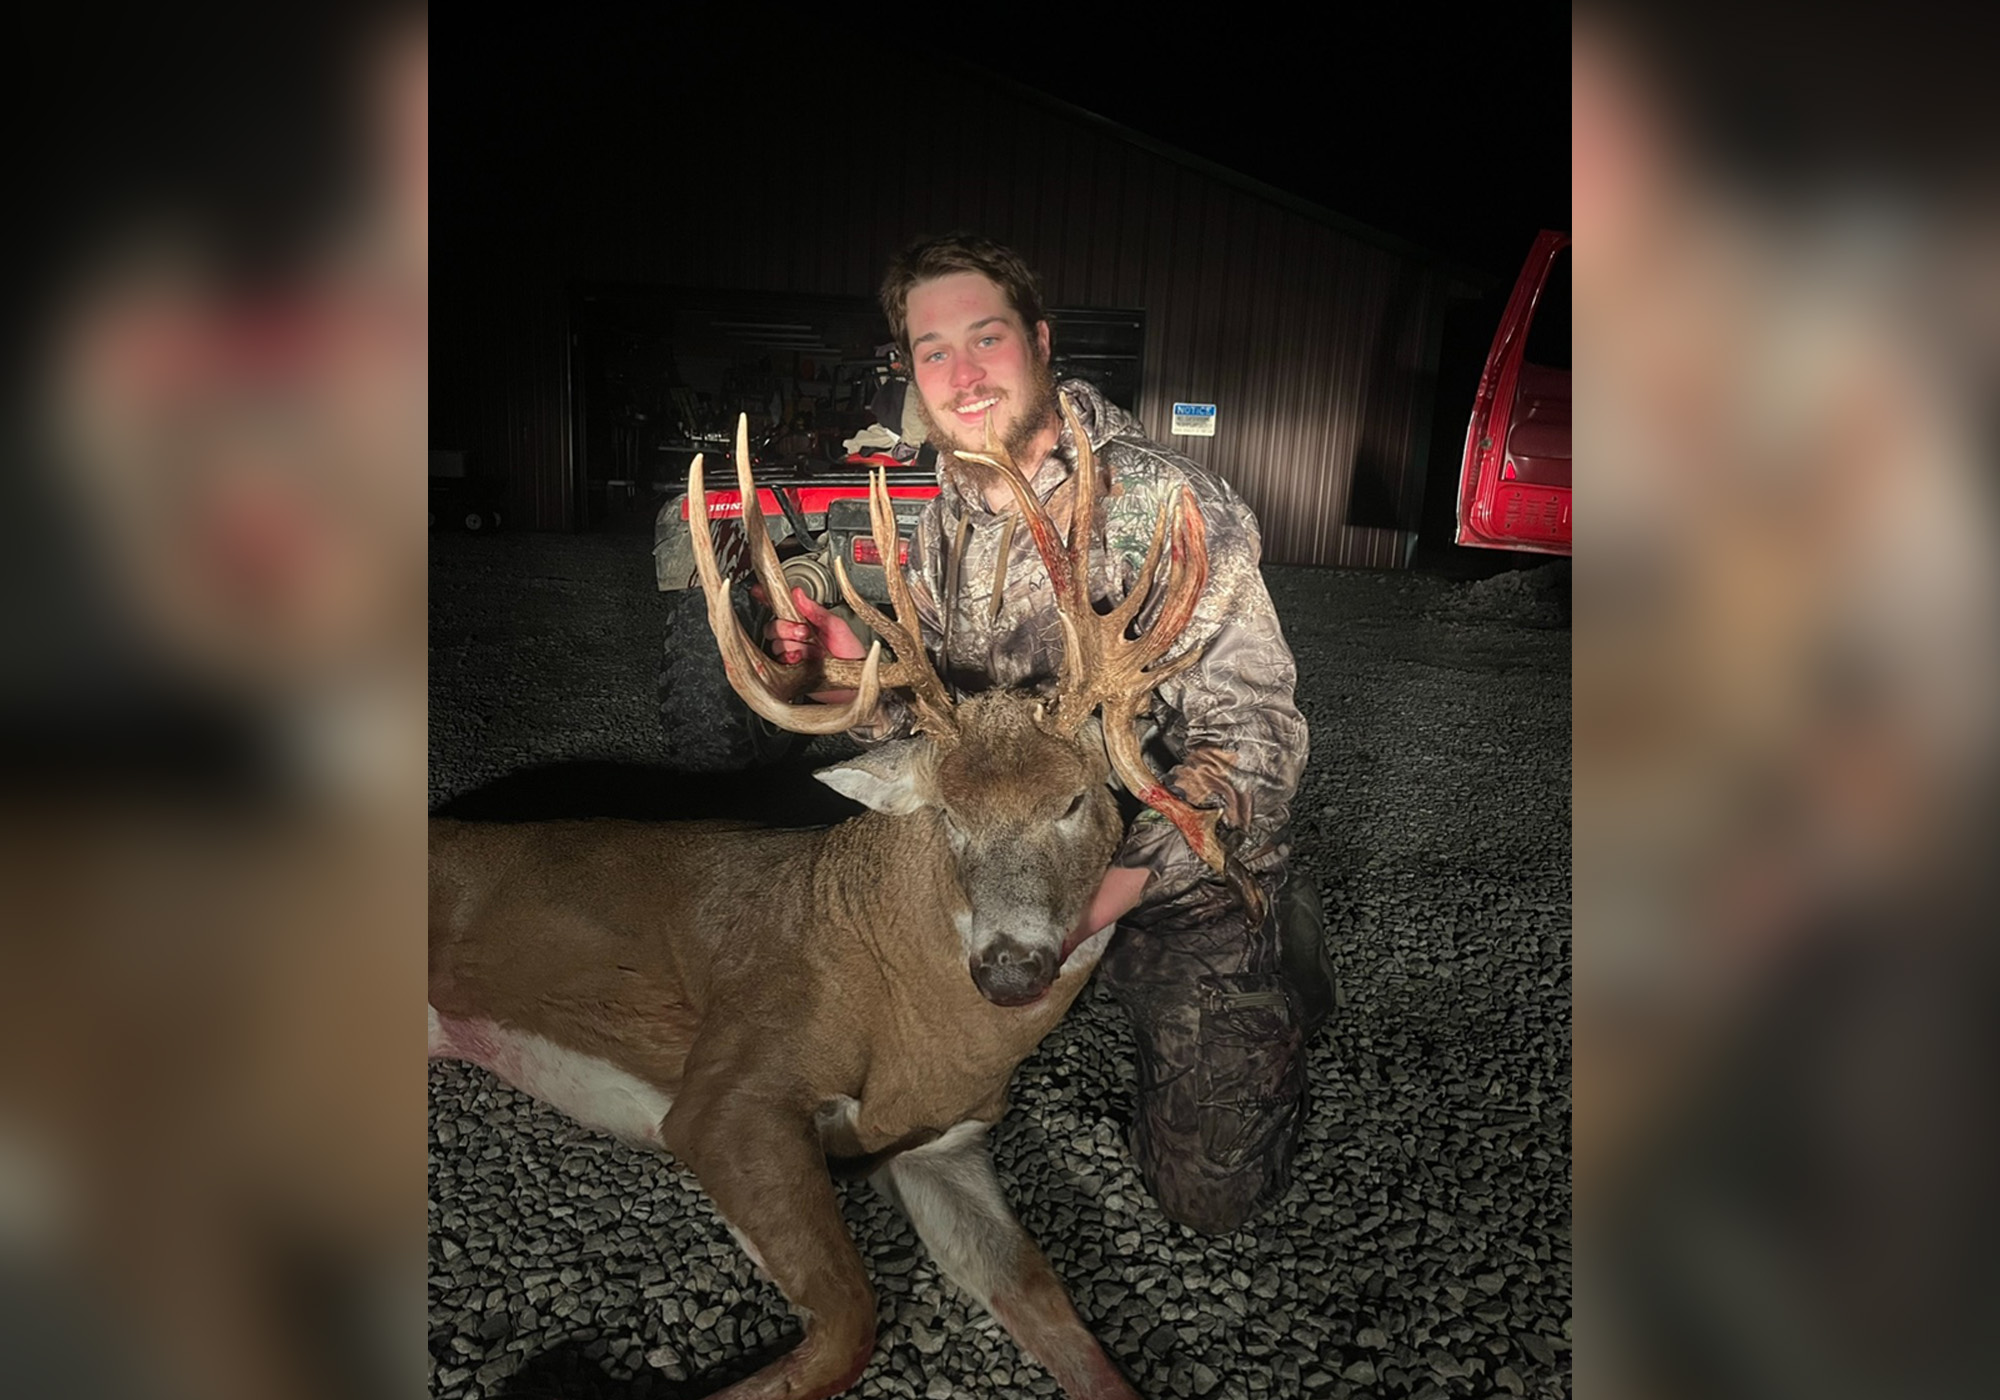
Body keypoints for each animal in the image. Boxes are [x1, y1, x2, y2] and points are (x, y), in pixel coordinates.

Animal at [428, 394, 1264, 1399]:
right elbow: (847, 1330)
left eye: (1073, 801)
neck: (913, 1027)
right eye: (946, 814)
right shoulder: (727, 1089)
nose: (1009, 969)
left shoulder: (944, 1148)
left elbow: (1069, 1331)